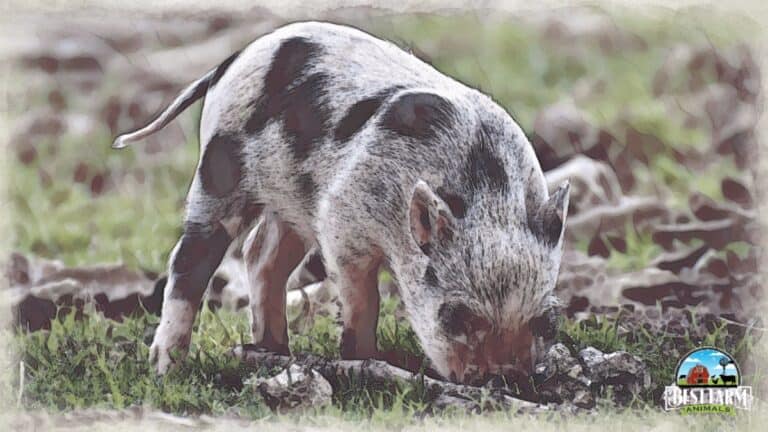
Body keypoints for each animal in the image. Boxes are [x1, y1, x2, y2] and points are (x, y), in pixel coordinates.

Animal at [113, 21, 570, 384]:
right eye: (456, 315)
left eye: (547, 321)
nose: (504, 379)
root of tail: (234, 59)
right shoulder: (342, 219)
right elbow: (362, 298)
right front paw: (362, 358)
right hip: (219, 165)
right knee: (191, 258)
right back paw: (167, 368)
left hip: (292, 200)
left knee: (262, 255)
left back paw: (275, 351)